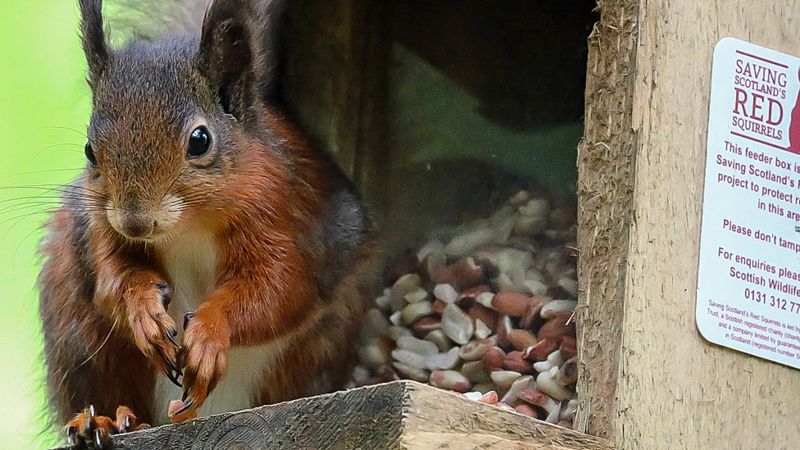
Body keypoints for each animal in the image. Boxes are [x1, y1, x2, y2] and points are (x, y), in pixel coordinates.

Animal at [38, 0, 378, 446]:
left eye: (200, 140)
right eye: (90, 150)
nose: (135, 222)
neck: (187, 227)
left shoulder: (285, 216)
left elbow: (278, 289)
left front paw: (208, 333)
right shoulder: (101, 230)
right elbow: (115, 280)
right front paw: (143, 311)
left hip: (318, 349)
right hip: (79, 337)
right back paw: (106, 421)